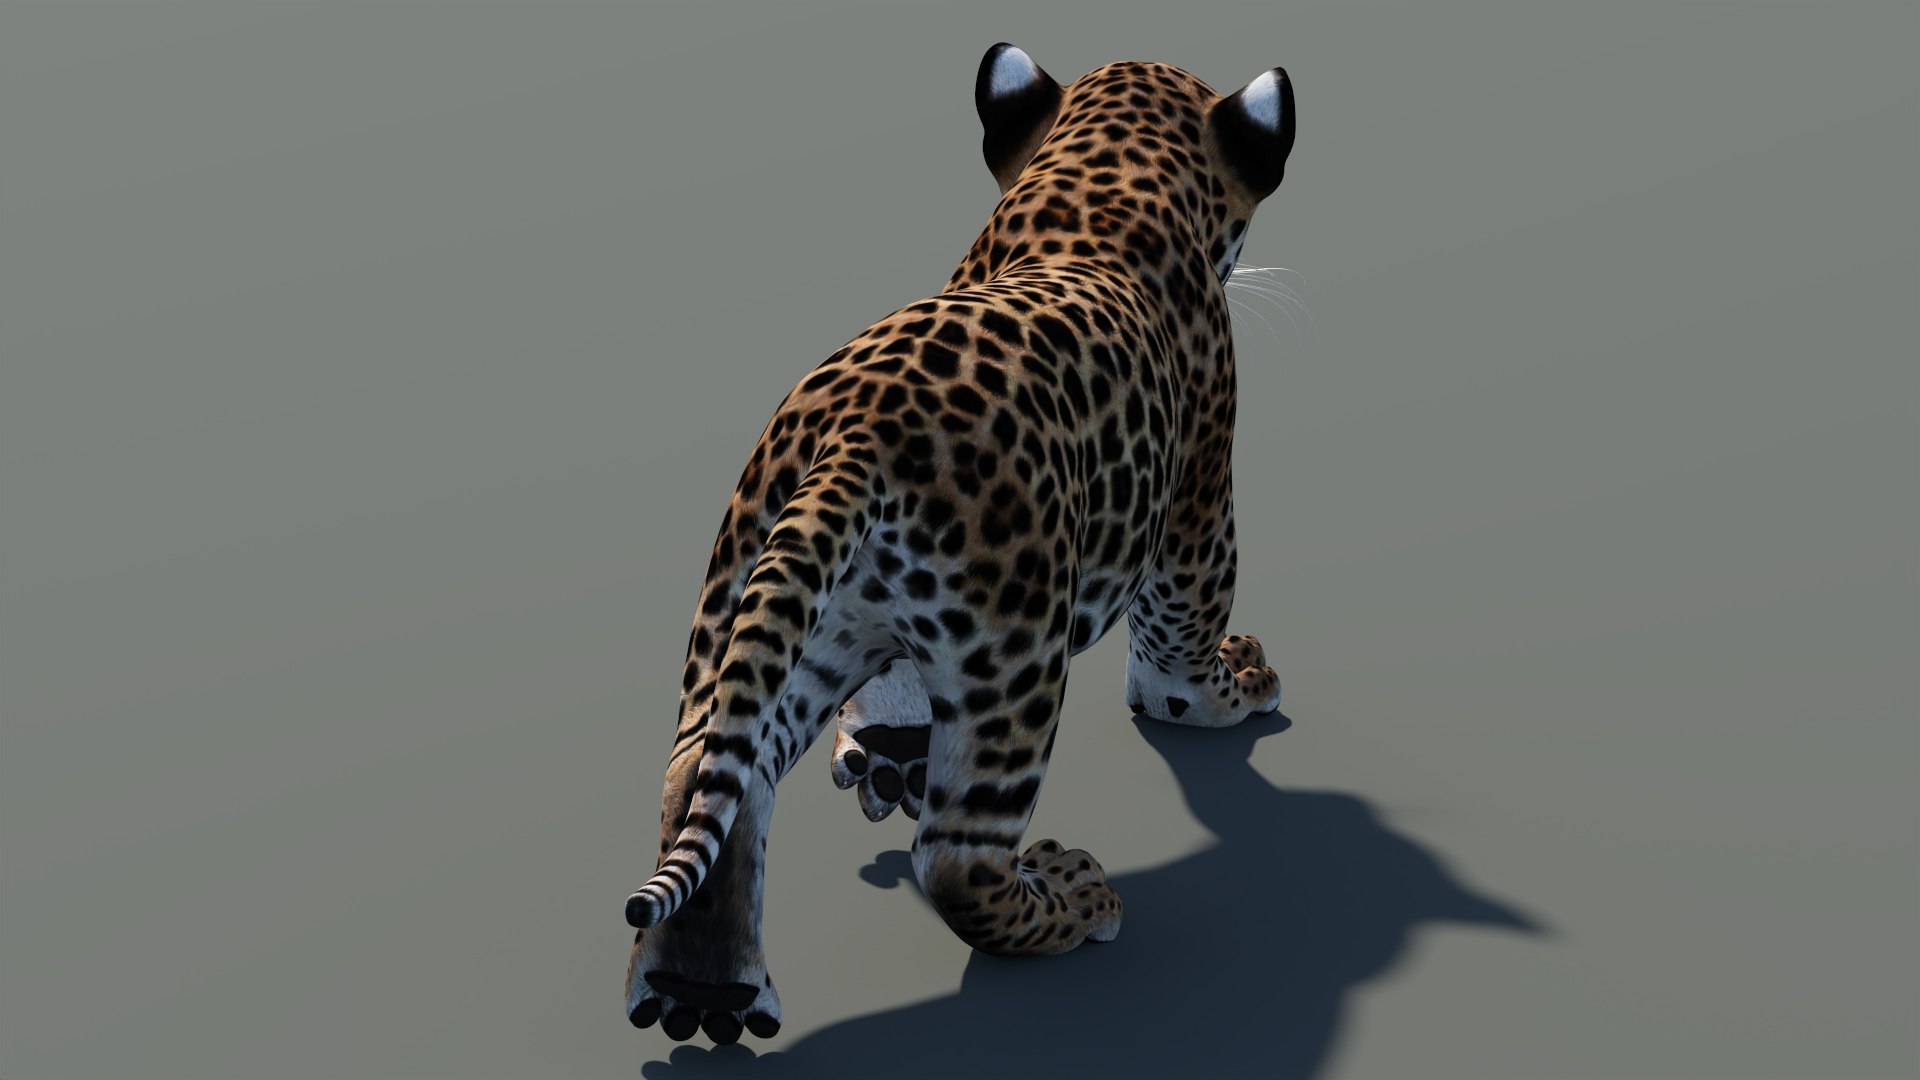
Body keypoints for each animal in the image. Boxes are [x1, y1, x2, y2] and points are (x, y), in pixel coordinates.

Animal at [623, 43, 1298, 1046]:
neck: (1095, 184)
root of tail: (853, 441)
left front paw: (891, 749)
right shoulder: (1199, 485)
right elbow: (1179, 641)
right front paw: (1231, 686)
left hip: (766, 602)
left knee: (704, 776)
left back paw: (699, 993)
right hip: (1018, 658)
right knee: (954, 860)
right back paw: (1069, 899)